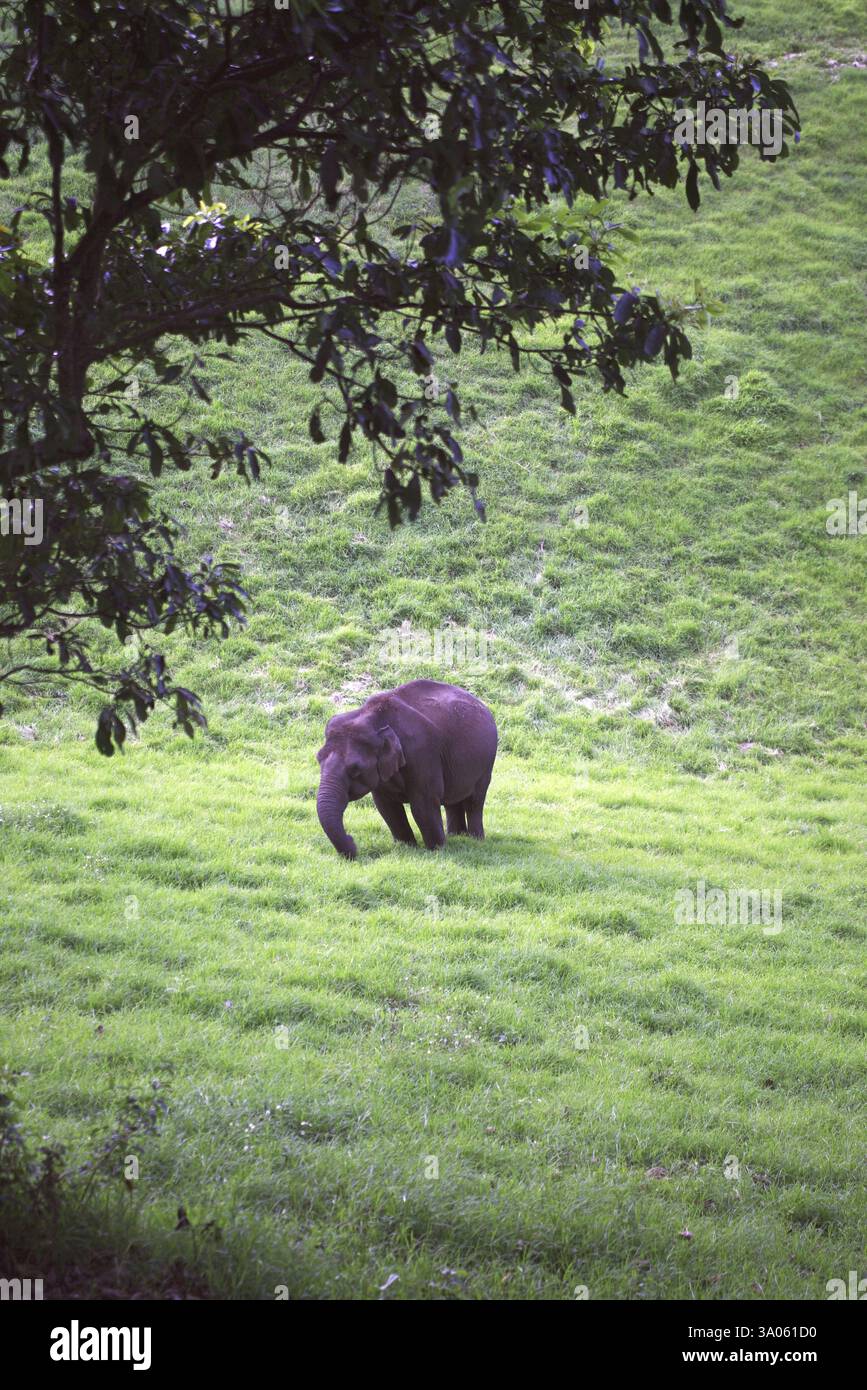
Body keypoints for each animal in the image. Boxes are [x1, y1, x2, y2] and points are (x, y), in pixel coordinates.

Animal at [316, 679, 497, 859]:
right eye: (318, 758)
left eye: (355, 769)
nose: (352, 840)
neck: (369, 716)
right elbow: (387, 807)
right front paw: (407, 847)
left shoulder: (422, 754)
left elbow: (423, 804)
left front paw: (437, 850)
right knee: (452, 801)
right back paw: (456, 836)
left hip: (486, 764)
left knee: (475, 800)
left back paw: (475, 839)